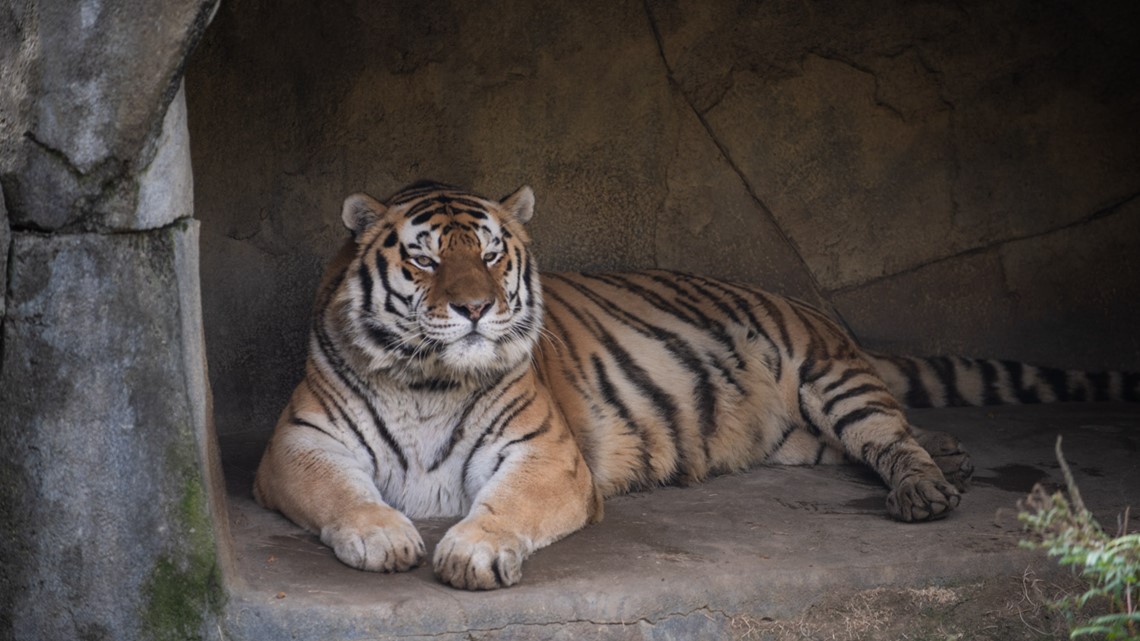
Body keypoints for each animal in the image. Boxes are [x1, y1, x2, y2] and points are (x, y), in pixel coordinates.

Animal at [253, 180, 1140, 590]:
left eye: (495, 255)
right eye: (426, 258)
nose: (475, 308)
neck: (430, 378)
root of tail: (815, 311)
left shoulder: (546, 453)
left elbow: (501, 507)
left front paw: (471, 549)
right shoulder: (298, 444)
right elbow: (344, 494)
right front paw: (384, 534)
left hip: (832, 379)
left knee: (889, 436)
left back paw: (928, 487)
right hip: (799, 438)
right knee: (880, 438)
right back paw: (952, 455)